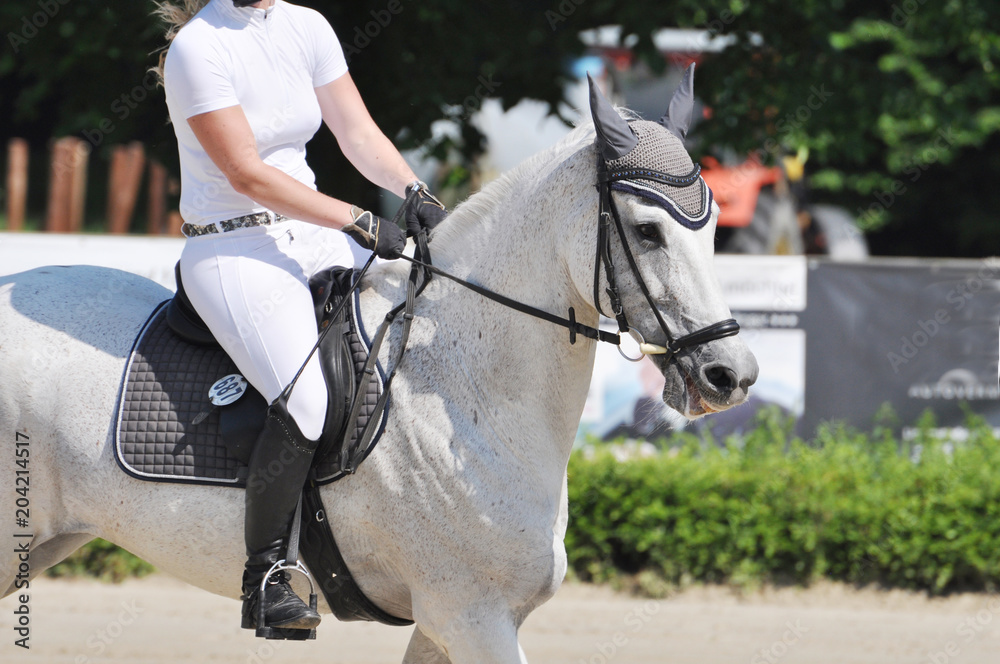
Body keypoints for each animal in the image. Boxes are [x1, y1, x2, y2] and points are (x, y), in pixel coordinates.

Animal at [0, 75, 757, 662]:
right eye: (648, 231)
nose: (731, 375)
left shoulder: (444, 623)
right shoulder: (472, 614)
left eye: (716, 224)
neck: (464, 387)